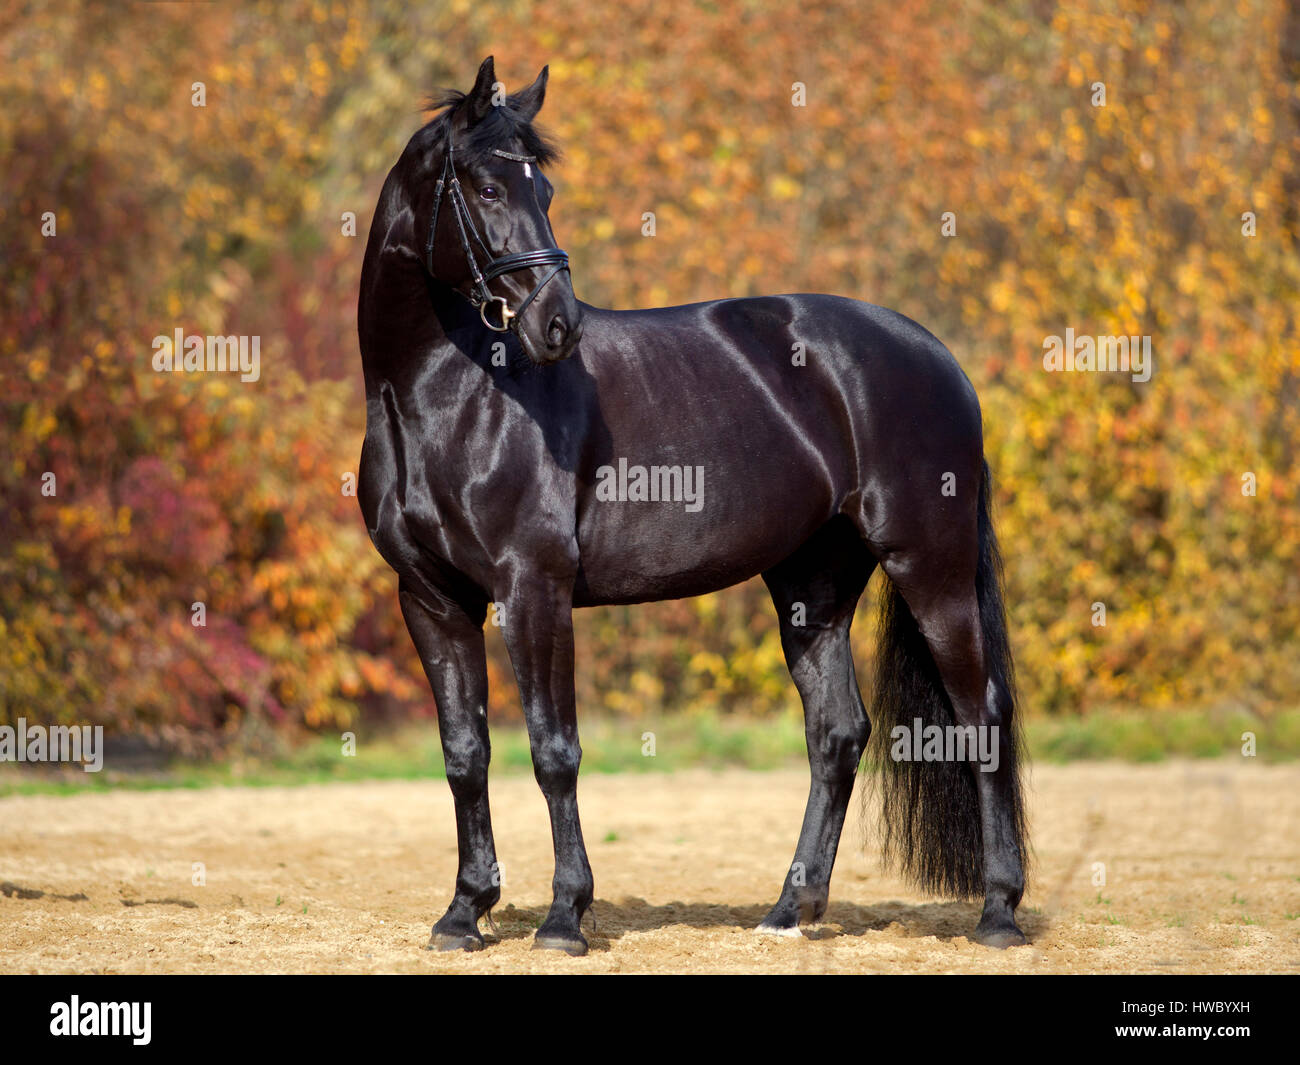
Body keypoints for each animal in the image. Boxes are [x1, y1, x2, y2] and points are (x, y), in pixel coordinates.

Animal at [357, 56, 1028, 955]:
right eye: (488, 188)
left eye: (545, 189)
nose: (558, 325)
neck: (443, 397)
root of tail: (940, 359)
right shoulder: (432, 597)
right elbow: (465, 753)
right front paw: (464, 912)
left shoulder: (534, 589)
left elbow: (553, 750)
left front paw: (565, 916)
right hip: (813, 585)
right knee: (837, 732)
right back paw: (790, 909)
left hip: (932, 566)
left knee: (978, 713)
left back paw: (998, 911)